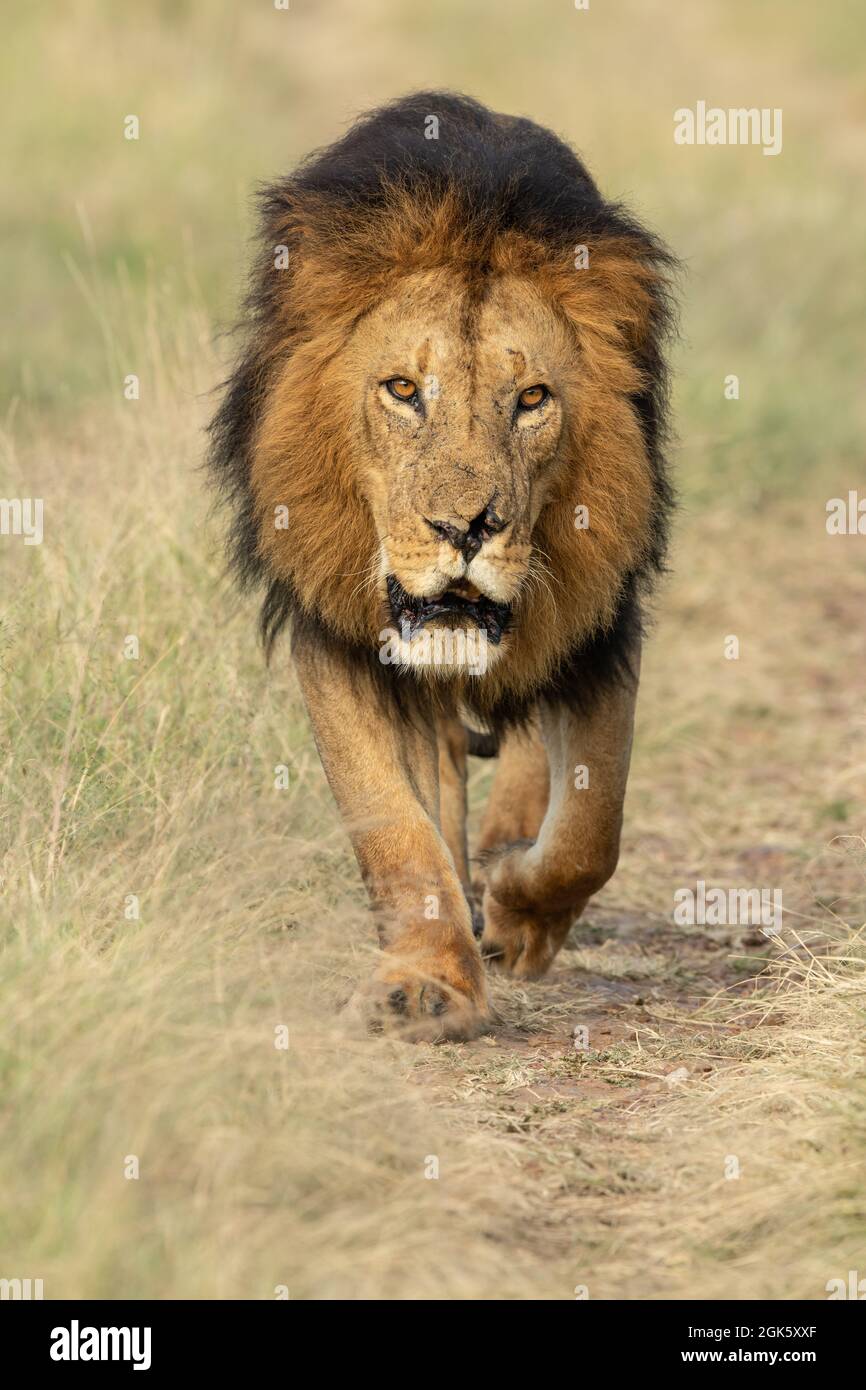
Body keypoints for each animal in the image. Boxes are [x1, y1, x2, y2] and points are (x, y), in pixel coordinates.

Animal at [209, 92, 676, 1040]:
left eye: (531, 399)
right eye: (402, 390)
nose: (467, 527)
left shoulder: (601, 623)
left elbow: (591, 831)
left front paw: (520, 916)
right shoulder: (341, 637)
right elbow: (394, 827)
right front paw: (427, 982)